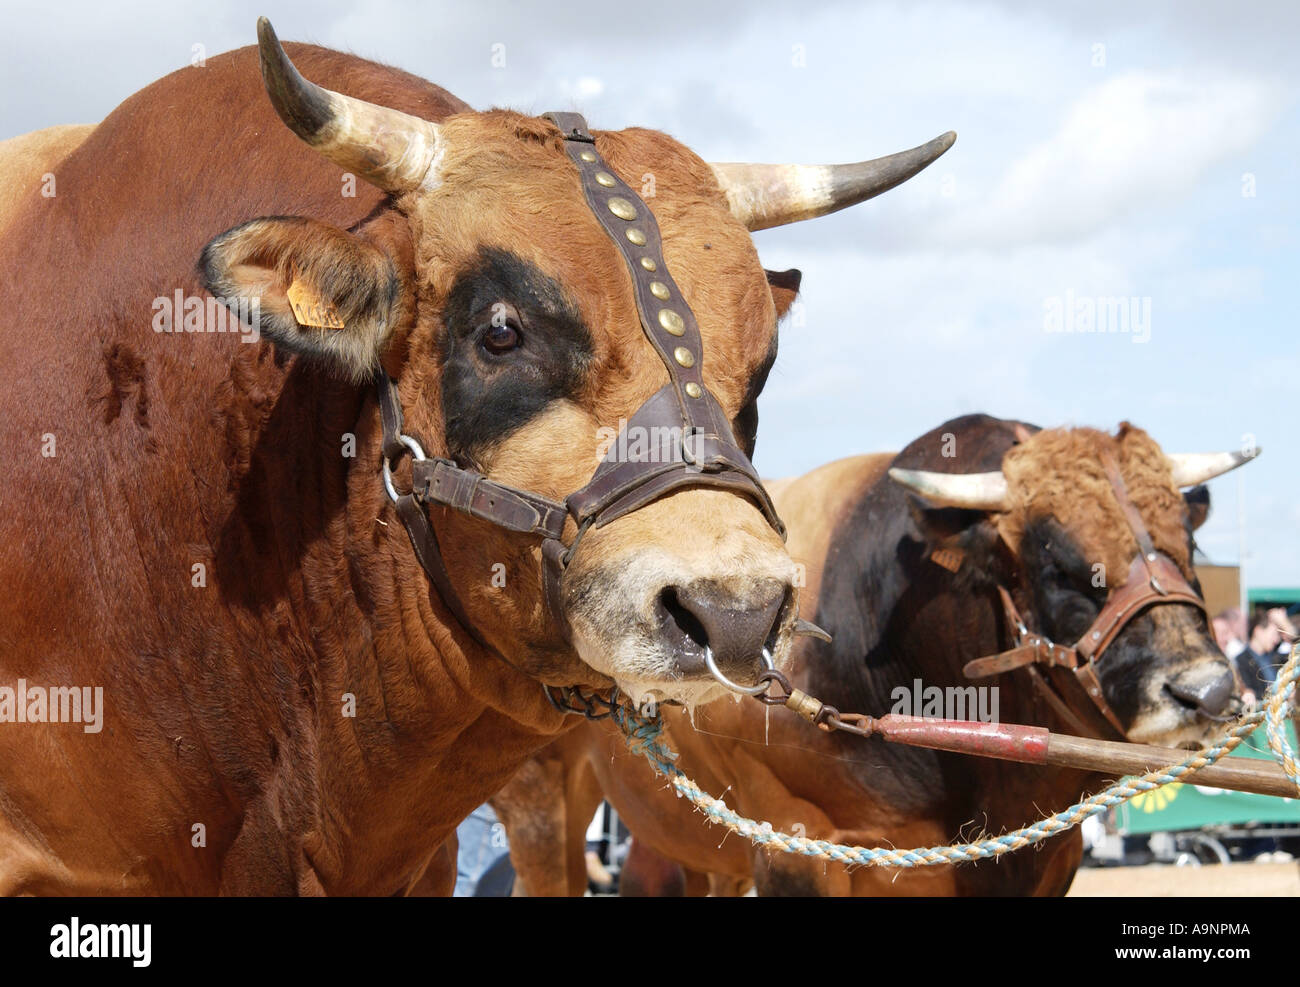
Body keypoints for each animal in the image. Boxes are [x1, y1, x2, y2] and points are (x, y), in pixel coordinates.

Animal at [495, 414, 1255, 896]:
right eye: (1061, 566)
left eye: (1187, 543)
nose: (1207, 691)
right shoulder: (798, 846)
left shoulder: (1047, 852)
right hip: (540, 801)